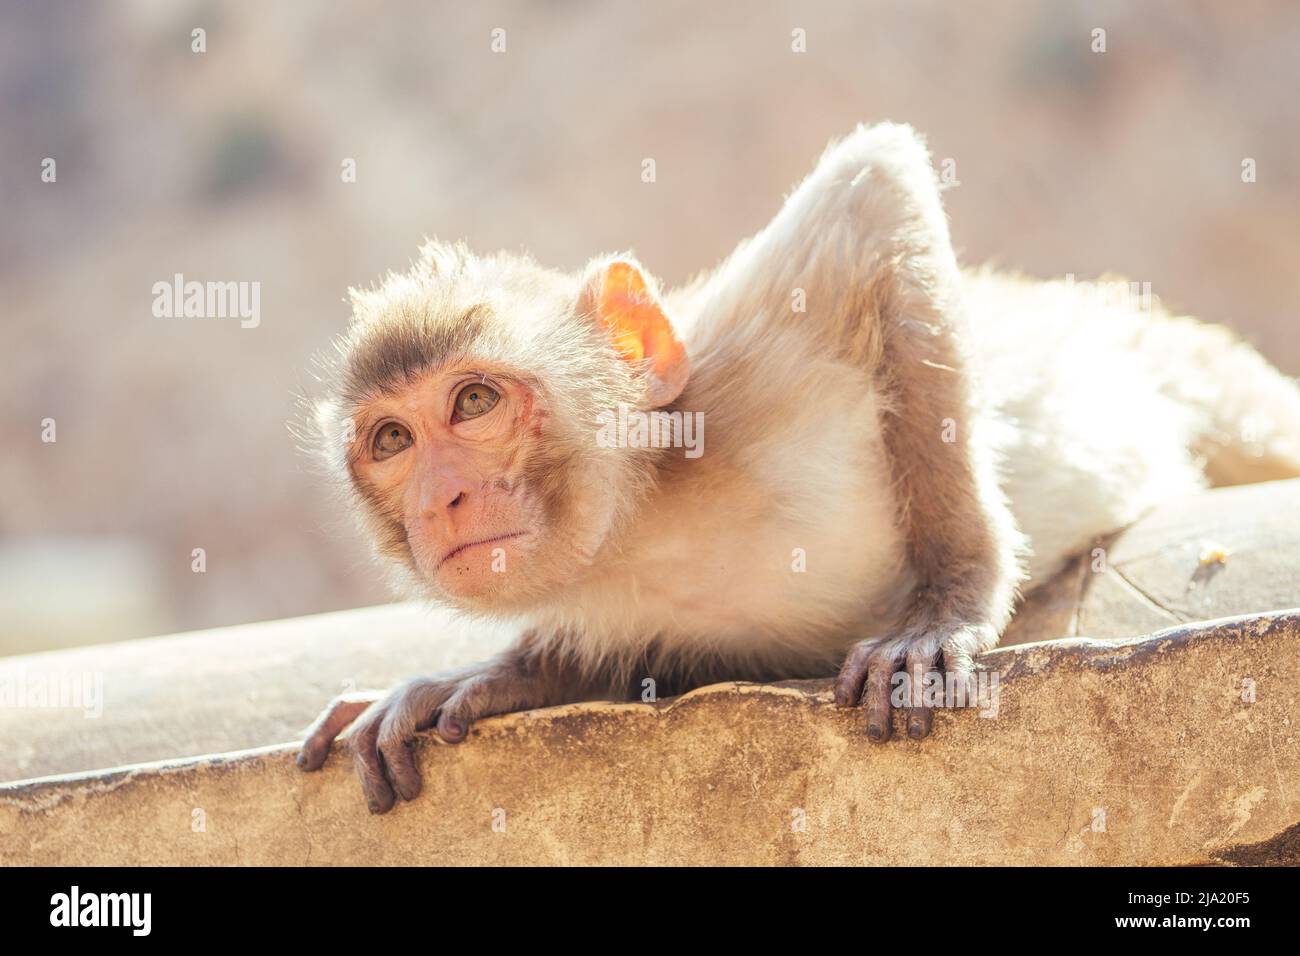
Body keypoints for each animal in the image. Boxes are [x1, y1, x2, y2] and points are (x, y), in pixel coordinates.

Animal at [296, 122, 1300, 814]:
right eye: (392, 442)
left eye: (473, 402)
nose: (443, 497)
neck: (643, 523)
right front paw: (484, 678)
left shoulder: (736, 366)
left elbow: (875, 187)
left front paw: (950, 604)